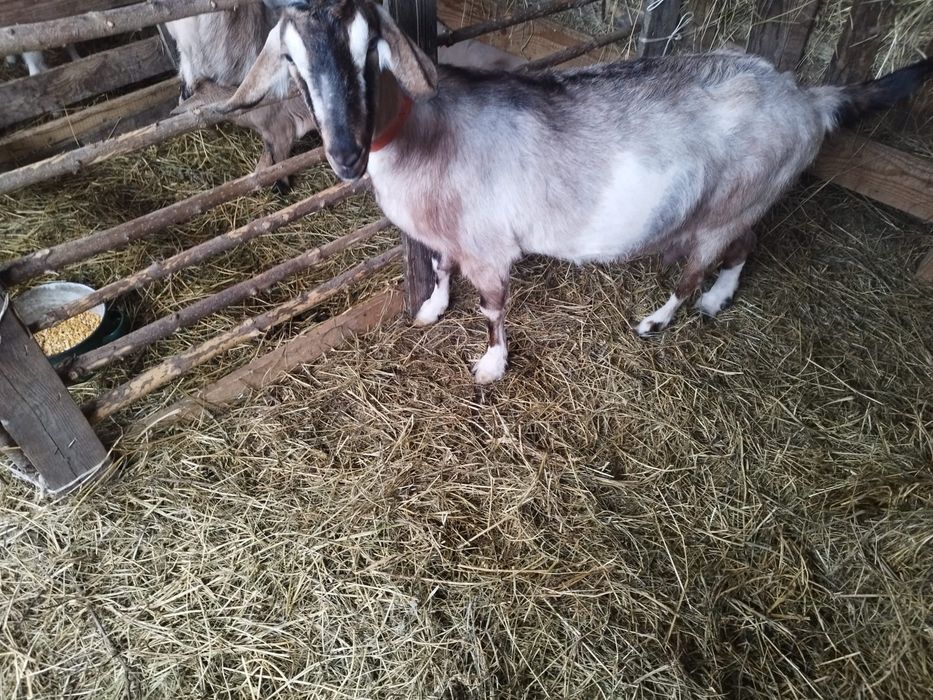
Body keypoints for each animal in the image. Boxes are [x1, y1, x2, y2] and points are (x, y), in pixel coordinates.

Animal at [222, 0, 933, 384]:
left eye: (370, 49)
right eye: (291, 61)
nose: (344, 154)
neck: (426, 133)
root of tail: (808, 98)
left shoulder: (487, 245)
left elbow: (492, 307)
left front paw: (491, 366)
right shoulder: (449, 235)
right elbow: (442, 270)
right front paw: (429, 310)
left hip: (727, 204)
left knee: (695, 268)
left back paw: (660, 319)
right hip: (742, 201)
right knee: (746, 244)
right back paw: (717, 301)